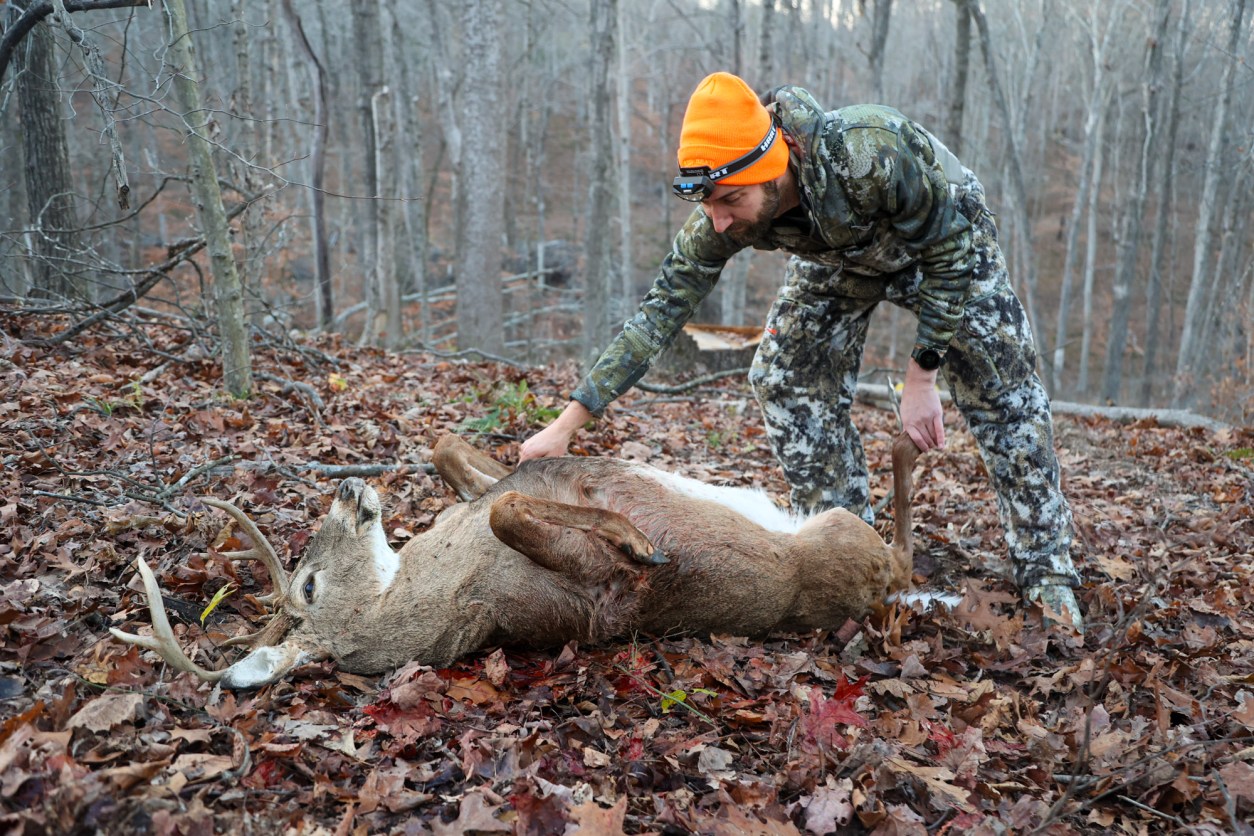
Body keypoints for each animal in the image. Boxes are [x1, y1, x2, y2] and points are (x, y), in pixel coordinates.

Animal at [110, 433, 925, 689]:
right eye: (307, 584)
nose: (349, 490)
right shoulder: (591, 588)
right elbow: (522, 514)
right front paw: (638, 538)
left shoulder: (488, 487)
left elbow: (467, 462)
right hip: (845, 538)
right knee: (903, 556)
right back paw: (909, 434)